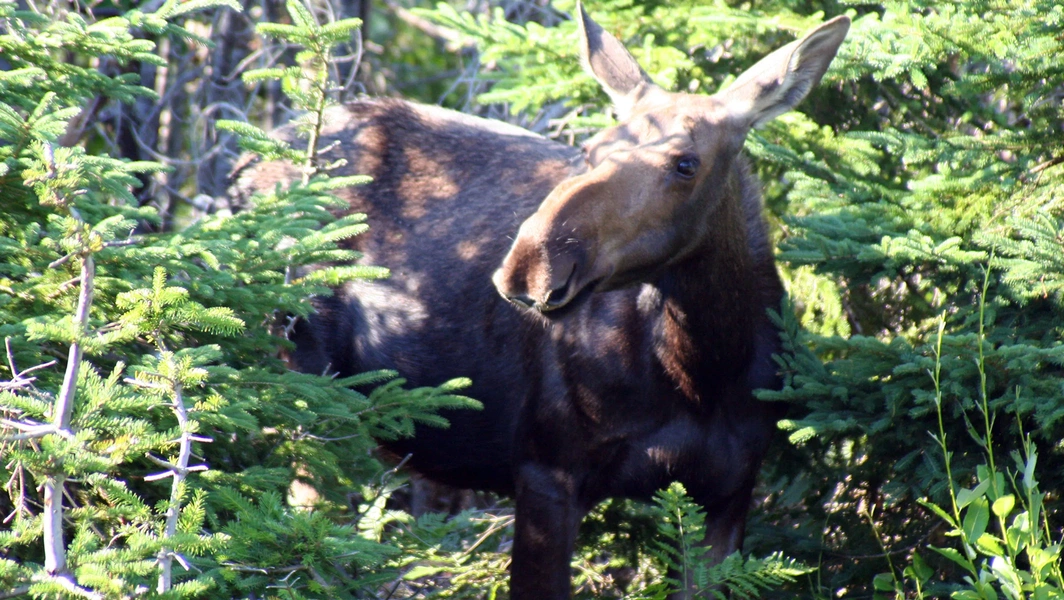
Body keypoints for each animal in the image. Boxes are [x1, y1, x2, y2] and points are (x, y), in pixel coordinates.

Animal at [231, 4, 849, 597]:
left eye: (685, 163)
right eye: (591, 149)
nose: (527, 267)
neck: (702, 367)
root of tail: (246, 169)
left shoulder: (729, 490)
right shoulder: (545, 470)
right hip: (308, 392)